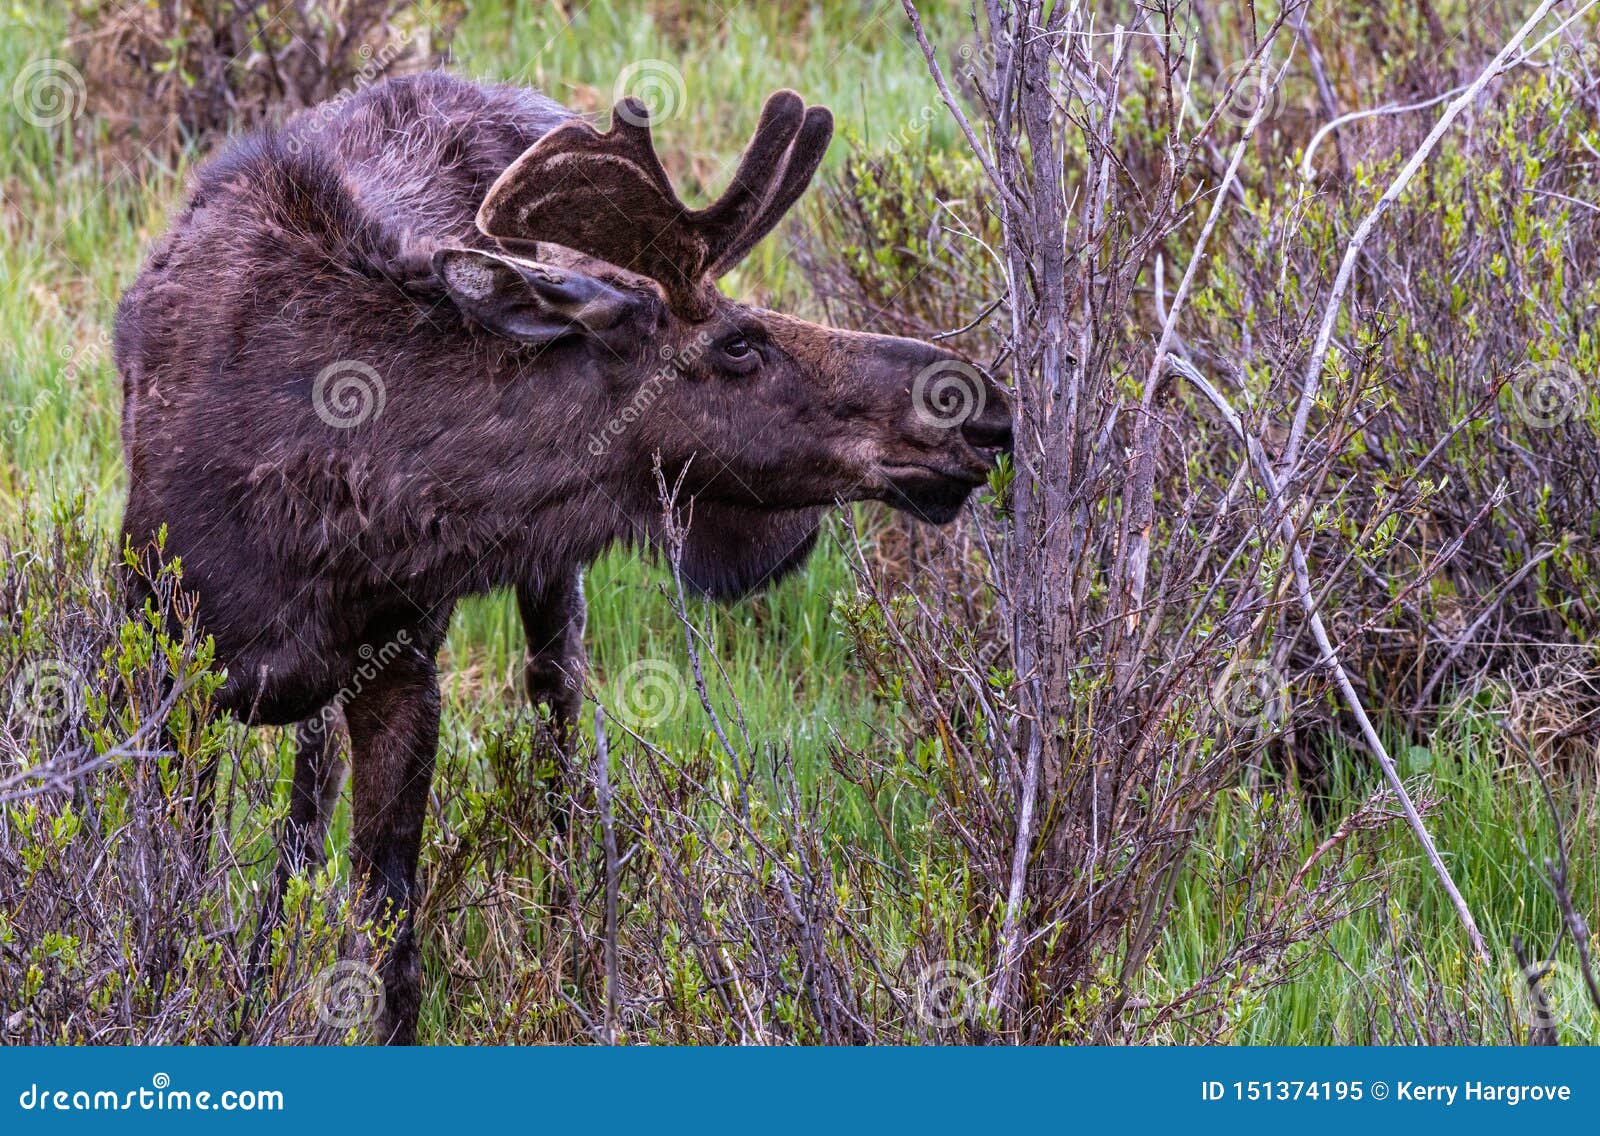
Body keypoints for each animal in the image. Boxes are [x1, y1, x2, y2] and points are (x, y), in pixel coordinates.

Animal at [114, 71, 1012, 1043]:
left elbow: (391, 948)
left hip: (550, 601)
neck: (325, 519)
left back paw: (572, 943)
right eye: (739, 343)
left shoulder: (404, 672)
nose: (979, 403)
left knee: (555, 742)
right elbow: (167, 917)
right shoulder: (164, 674)